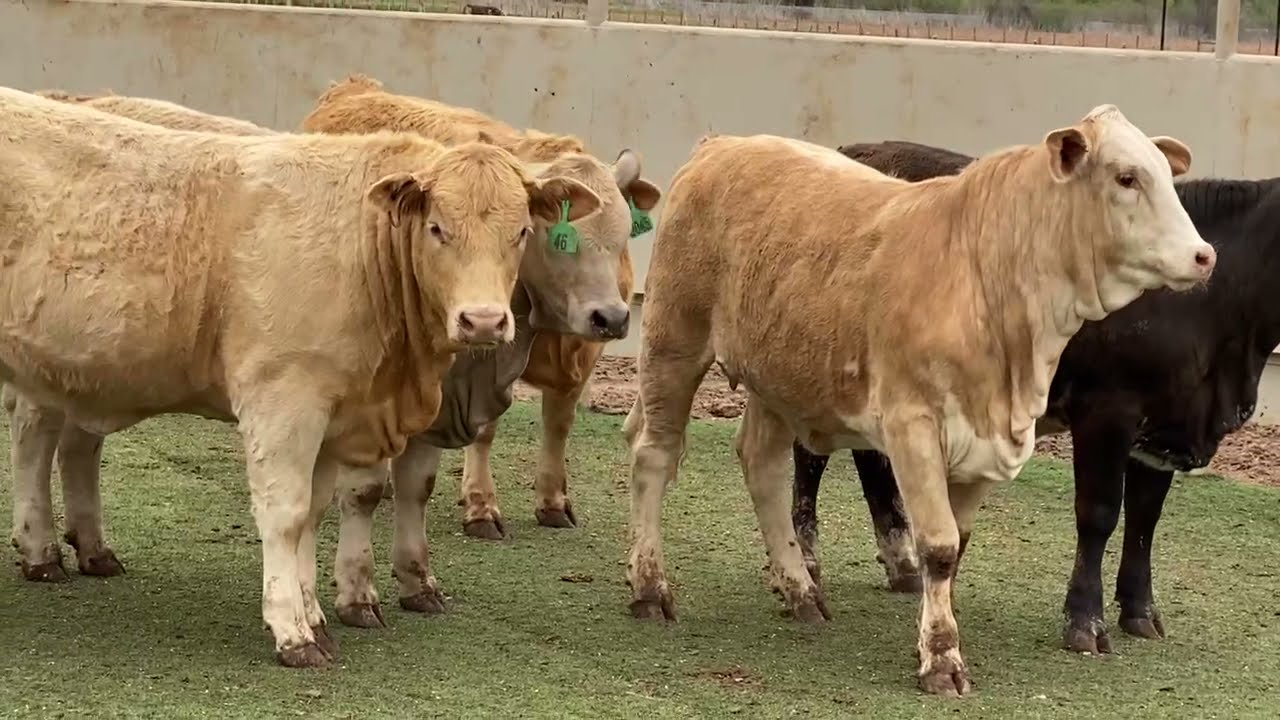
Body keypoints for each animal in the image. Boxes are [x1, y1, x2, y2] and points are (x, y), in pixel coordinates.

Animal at [0, 86, 604, 666]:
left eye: (521, 232)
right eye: (437, 228)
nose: (482, 320)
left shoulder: (335, 411)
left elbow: (315, 511)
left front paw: (315, 613)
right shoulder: (284, 400)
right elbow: (287, 514)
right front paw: (292, 630)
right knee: (35, 438)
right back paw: (42, 552)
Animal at [301, 74, 662, 623]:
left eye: (623, 234)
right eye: (559, 239)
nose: (613, 317)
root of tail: (354, 89)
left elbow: (557, 425)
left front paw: (552, 500)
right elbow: (481, 437)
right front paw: (480, 507)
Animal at [621, 105, 1216, 696]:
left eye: (1165, 174)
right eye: (1126, 177)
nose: (1203, 255)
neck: (986, 280)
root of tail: (720, 145)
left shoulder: (990, 442)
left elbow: (957, 543)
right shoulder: (913, 426)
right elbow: (938, 545)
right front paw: (942, 658)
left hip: (776, 374)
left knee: (761, 464)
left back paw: (800, 590)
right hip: (673, 339)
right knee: (654, 455)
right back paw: (651, 587)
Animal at [790, 137, 1280, 658]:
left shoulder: (1165, 421)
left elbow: (1145, 519)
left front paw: (1140, 612)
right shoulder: (1107, 411)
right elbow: (1100, 512)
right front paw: (1085, 621)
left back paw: (902, 564)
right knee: (810, 459)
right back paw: (808, 564)